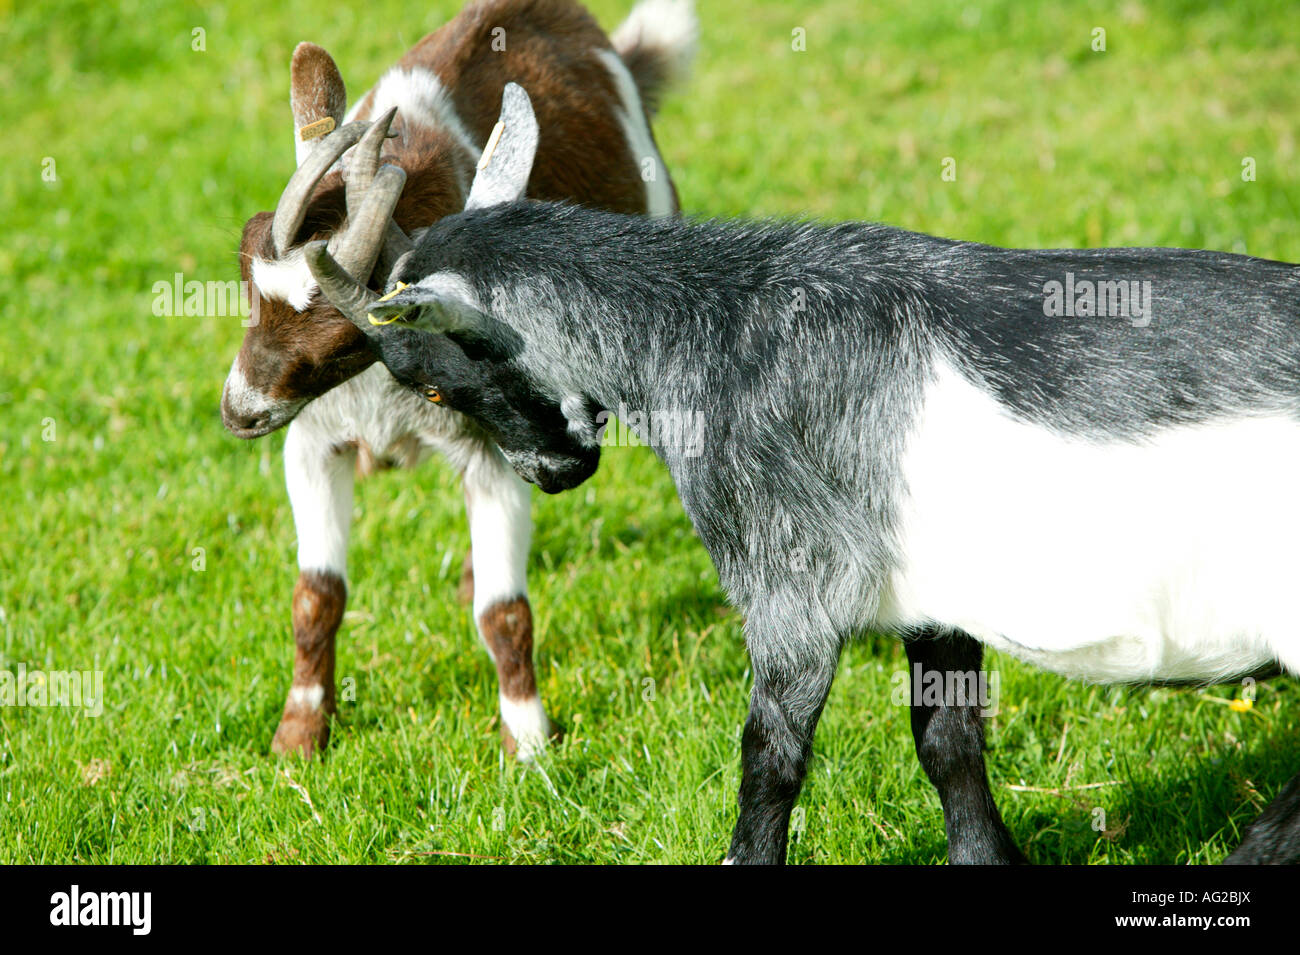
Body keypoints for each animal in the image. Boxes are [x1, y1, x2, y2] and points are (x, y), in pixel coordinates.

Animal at [219, 0, 698, 760]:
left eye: (343, 340)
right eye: (249, 285)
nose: (239, 411)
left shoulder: (499, 445)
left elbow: (505, 610)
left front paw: (528, 745)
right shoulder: (314, 438)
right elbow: (316, 595)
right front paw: (299, 733)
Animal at [307, 84, 1300, 864]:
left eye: (431, 378)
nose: (553, 469)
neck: (717, 319)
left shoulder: (792, 587)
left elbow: (770, 761)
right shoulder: (937, 601)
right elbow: (947, 743)